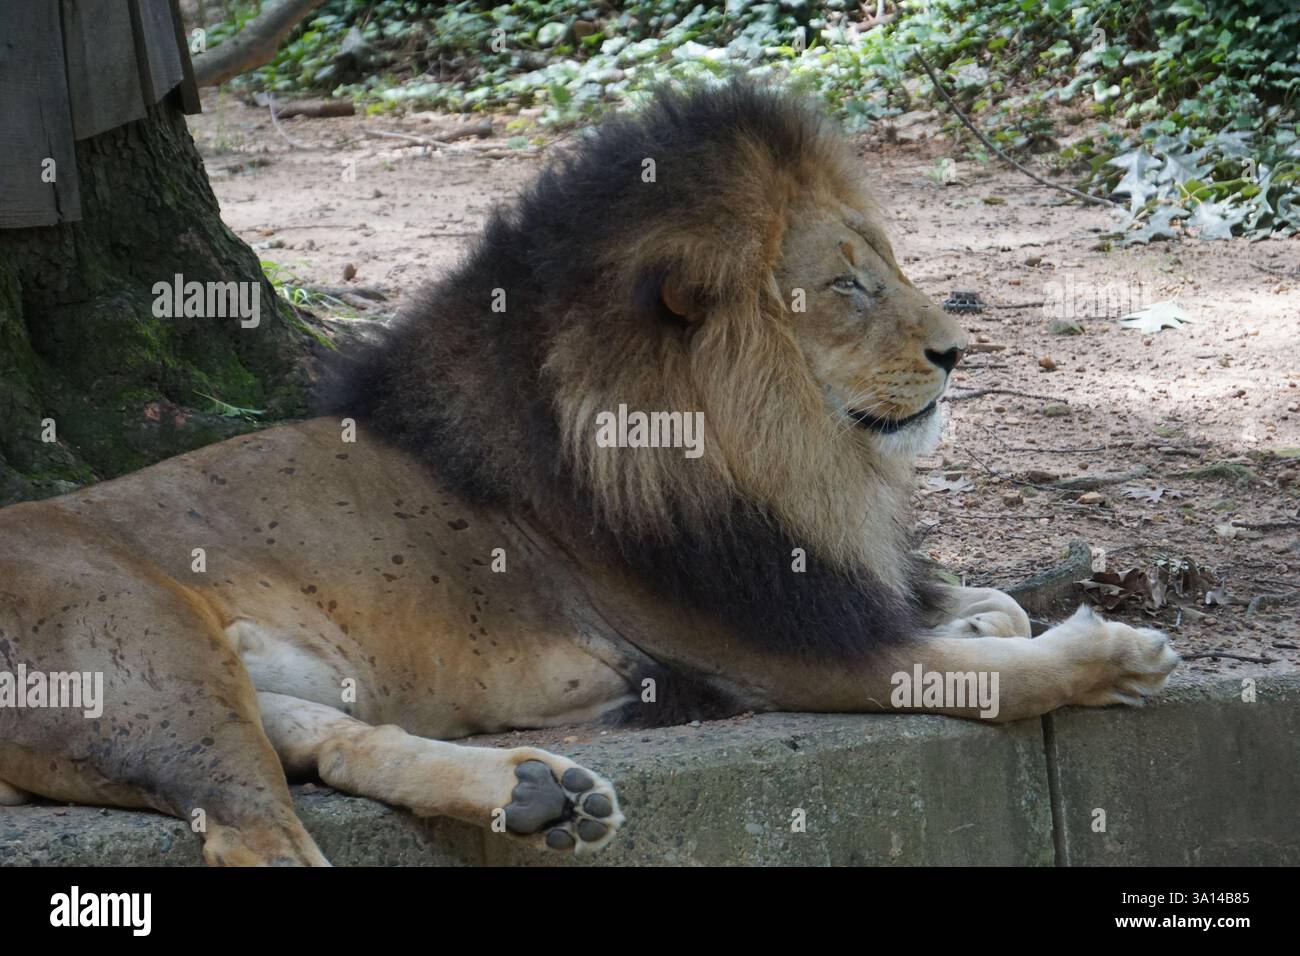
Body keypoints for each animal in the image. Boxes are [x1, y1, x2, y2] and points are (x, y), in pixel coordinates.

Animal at [0, 83, 1177, 864]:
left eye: (888, 264)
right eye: (847, 285)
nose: (956, 351)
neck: (762, 452)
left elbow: (985, 609)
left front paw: (989, 610)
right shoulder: (769, 655)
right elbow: (985, 674)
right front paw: (1112, 653)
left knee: (322, 740)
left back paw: (539, 794)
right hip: (155, 673)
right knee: (258, 829)